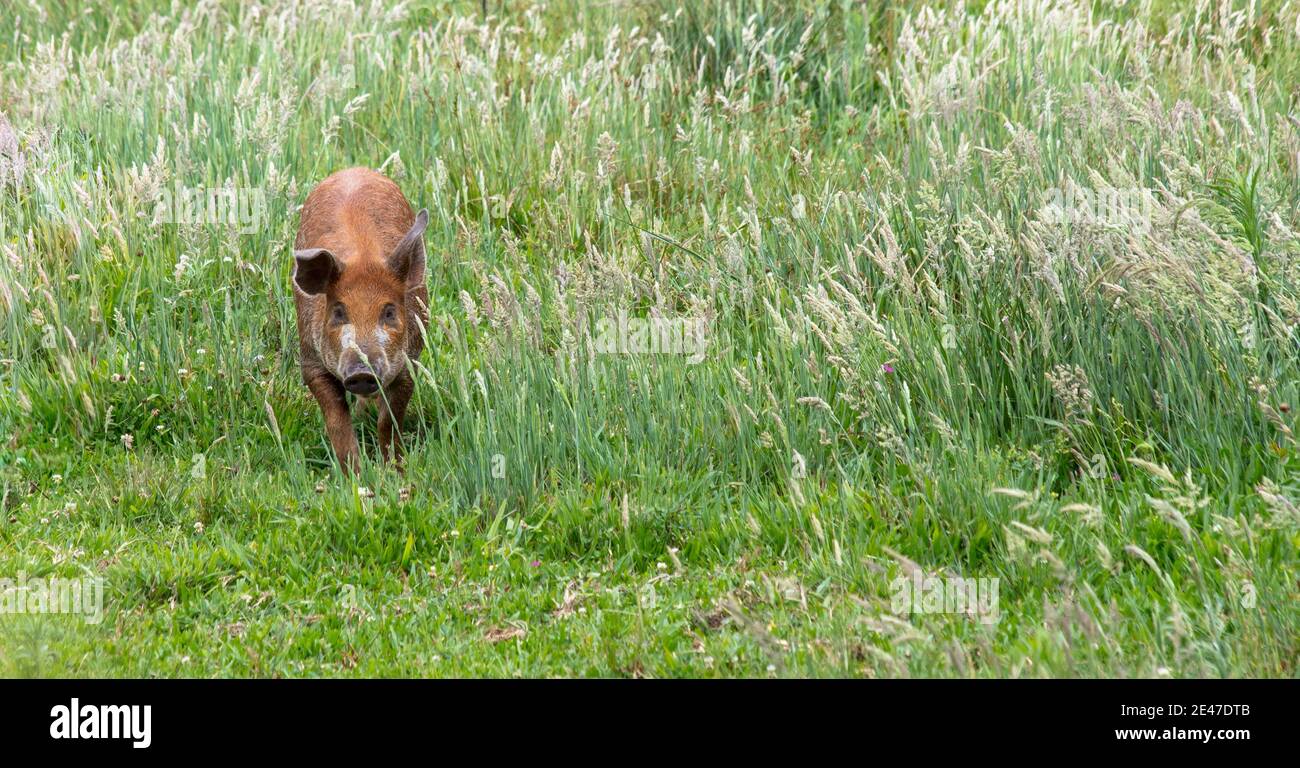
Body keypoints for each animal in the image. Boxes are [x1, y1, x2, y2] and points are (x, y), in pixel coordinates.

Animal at [292, 167, 429, 473]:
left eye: (389, 311)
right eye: (338, 311)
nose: (362, 372)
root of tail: (353, 170)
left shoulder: (410, 361)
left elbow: (389, 421)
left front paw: (394, 470)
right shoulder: (311, 363)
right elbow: (337, 421)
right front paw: (354, 475)